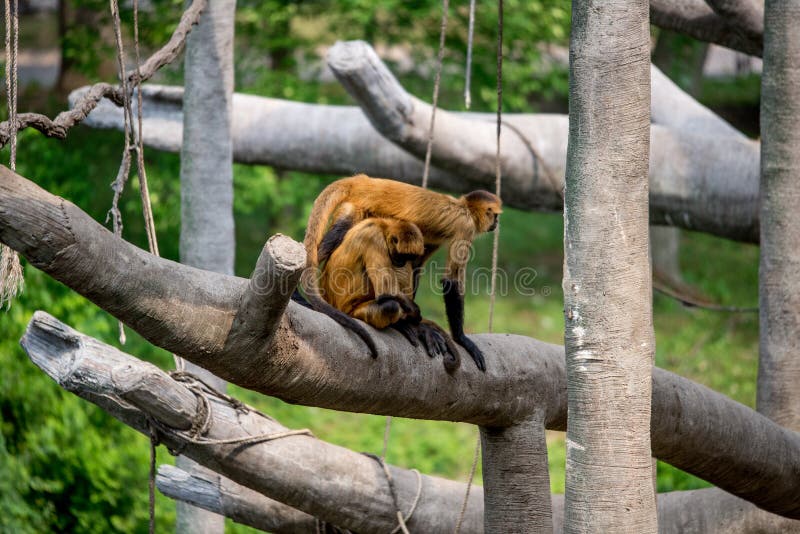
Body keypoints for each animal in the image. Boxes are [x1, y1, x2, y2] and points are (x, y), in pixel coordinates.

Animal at [316, 217, 461, 371]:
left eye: (409, 256)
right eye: (402, 255)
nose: (402, 261)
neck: (382, 225)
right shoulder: (374, 238)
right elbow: (386, 293)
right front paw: (416, 320)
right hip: (354, 312)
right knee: (390, 305)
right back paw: (400, 324)